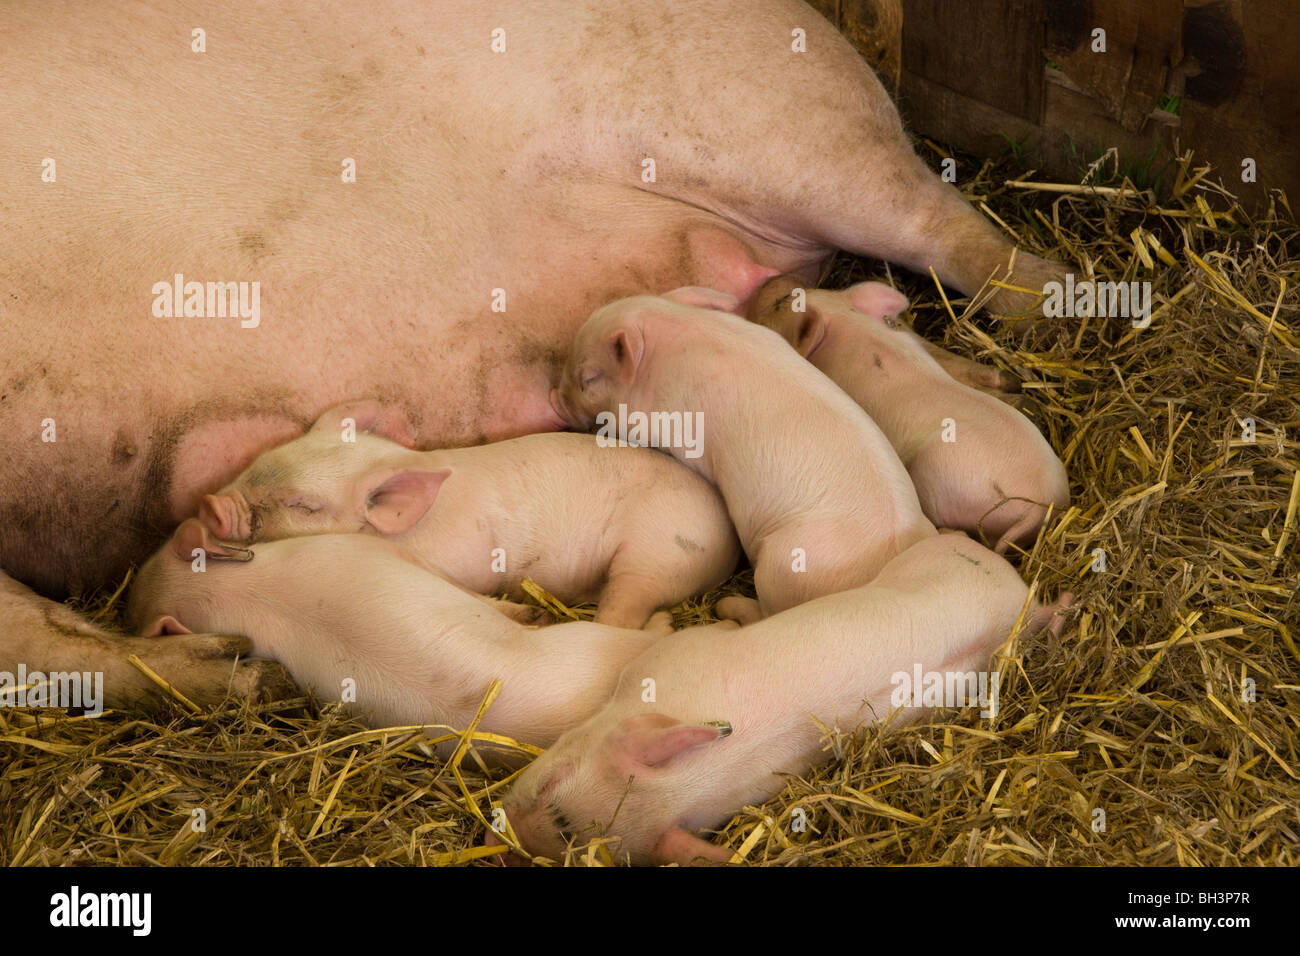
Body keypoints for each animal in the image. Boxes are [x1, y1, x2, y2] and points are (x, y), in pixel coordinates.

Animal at [187, 401, 740, 628]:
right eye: (256, 463)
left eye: (303, 505)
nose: (211, 506)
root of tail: (728, 532)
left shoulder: (448, 562)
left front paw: (529, 615)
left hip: (659, 553)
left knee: (621, 614)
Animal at [492, 532, 1073, 864]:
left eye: (551, 785)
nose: (512, 837)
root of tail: (1017, 598)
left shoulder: (685, 652)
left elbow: (703, 629)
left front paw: (723, 611)